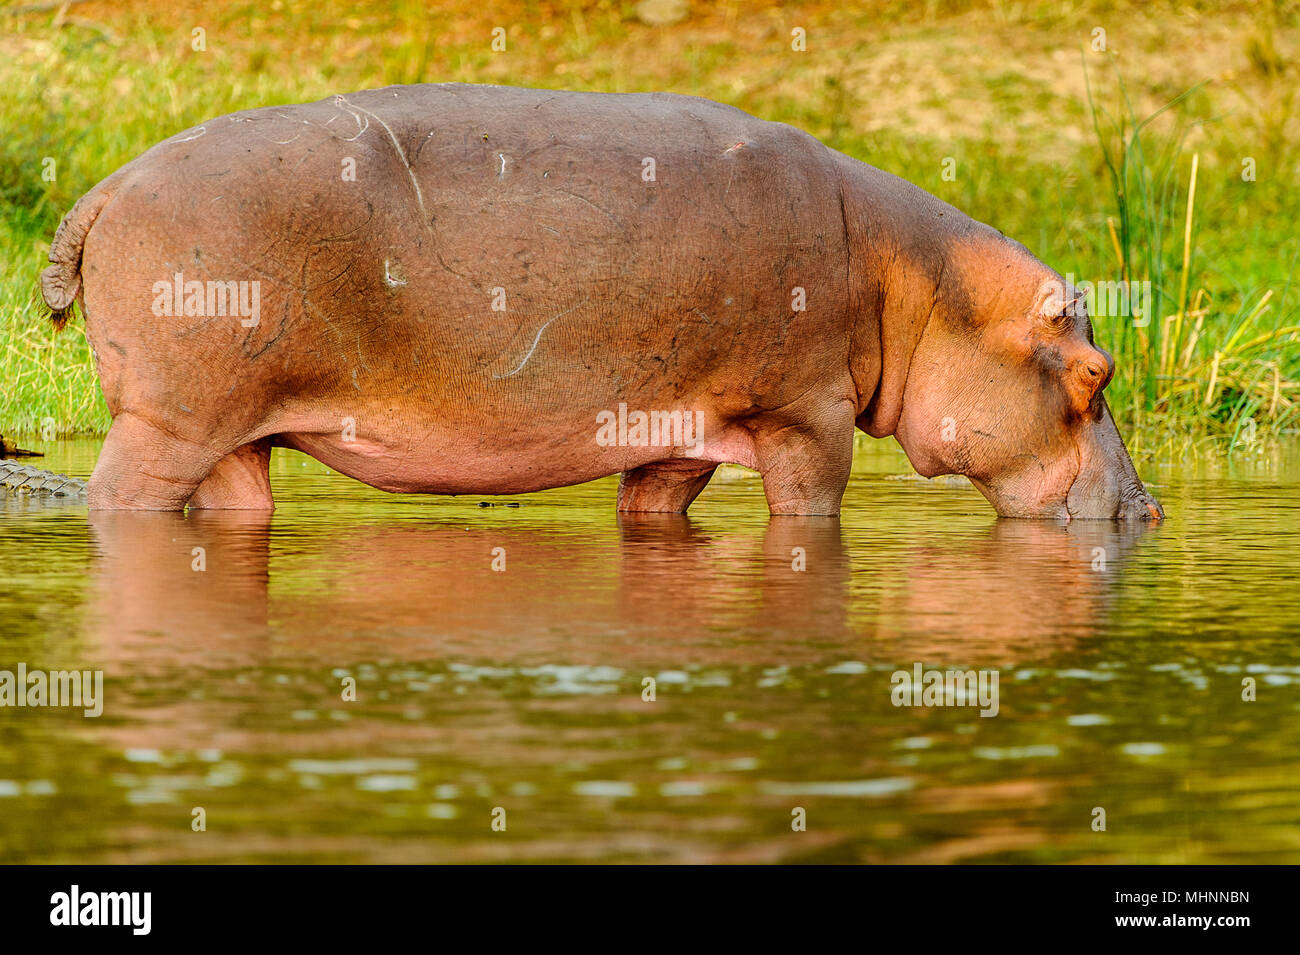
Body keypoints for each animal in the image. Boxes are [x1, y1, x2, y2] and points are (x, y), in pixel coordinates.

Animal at [39, 83, 1162, 521]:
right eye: (1096, 373)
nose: (1151, 507)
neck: (921, 285)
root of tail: (103, 189)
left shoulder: (679, 429)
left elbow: (653, 504)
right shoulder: (805, 415)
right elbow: (812, 509)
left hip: (232, 430)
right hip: (171, 419)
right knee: (120, 497)